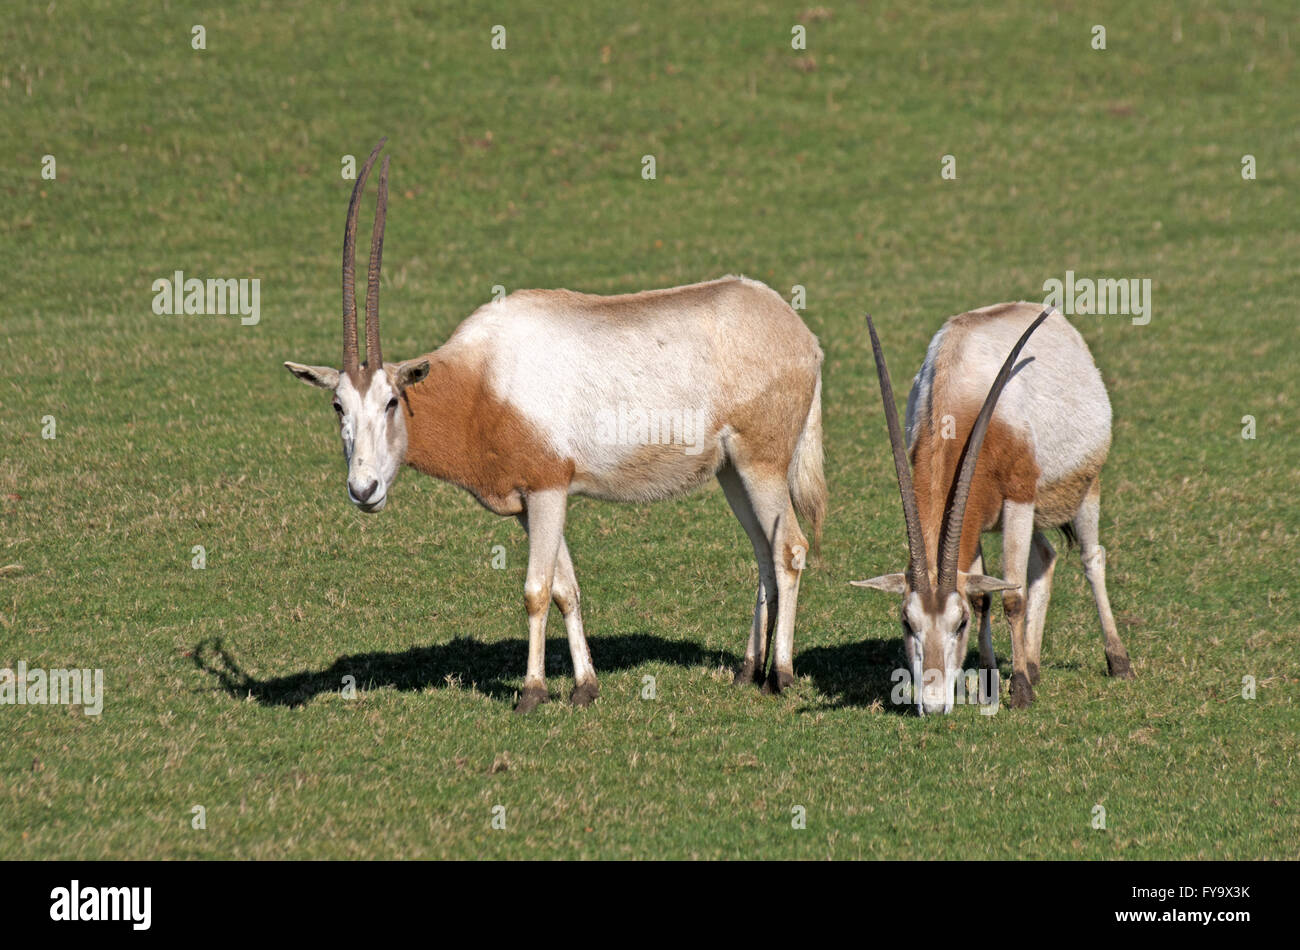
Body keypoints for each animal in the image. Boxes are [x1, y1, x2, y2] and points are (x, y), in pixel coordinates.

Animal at [283, 140, 827, 713]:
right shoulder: (533, 500)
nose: (363, 489)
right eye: (338, 405)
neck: (481, 380)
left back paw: (782, 675)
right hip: (731, 472)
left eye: (391, 401)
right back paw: (748, 671)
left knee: (789, 551)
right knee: (763, 553)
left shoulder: (548, 490)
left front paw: (531, 692)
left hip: (762, 464)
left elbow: (536, 589)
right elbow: (566, 587)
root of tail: (802, 336)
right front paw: (585, 687)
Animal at [853, 304, 1135, 714]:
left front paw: (1020, 690)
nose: (933, 705)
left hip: (1081, 489)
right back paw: (1032, 663)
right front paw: (990, 681)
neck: (959, 389)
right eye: (907, 622)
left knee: (1091, 559)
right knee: (1045, 557)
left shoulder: (1017, 500)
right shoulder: (974, 521)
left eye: (959, 624)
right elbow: (982, 595)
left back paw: (1117, 661)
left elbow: (1012, 597)